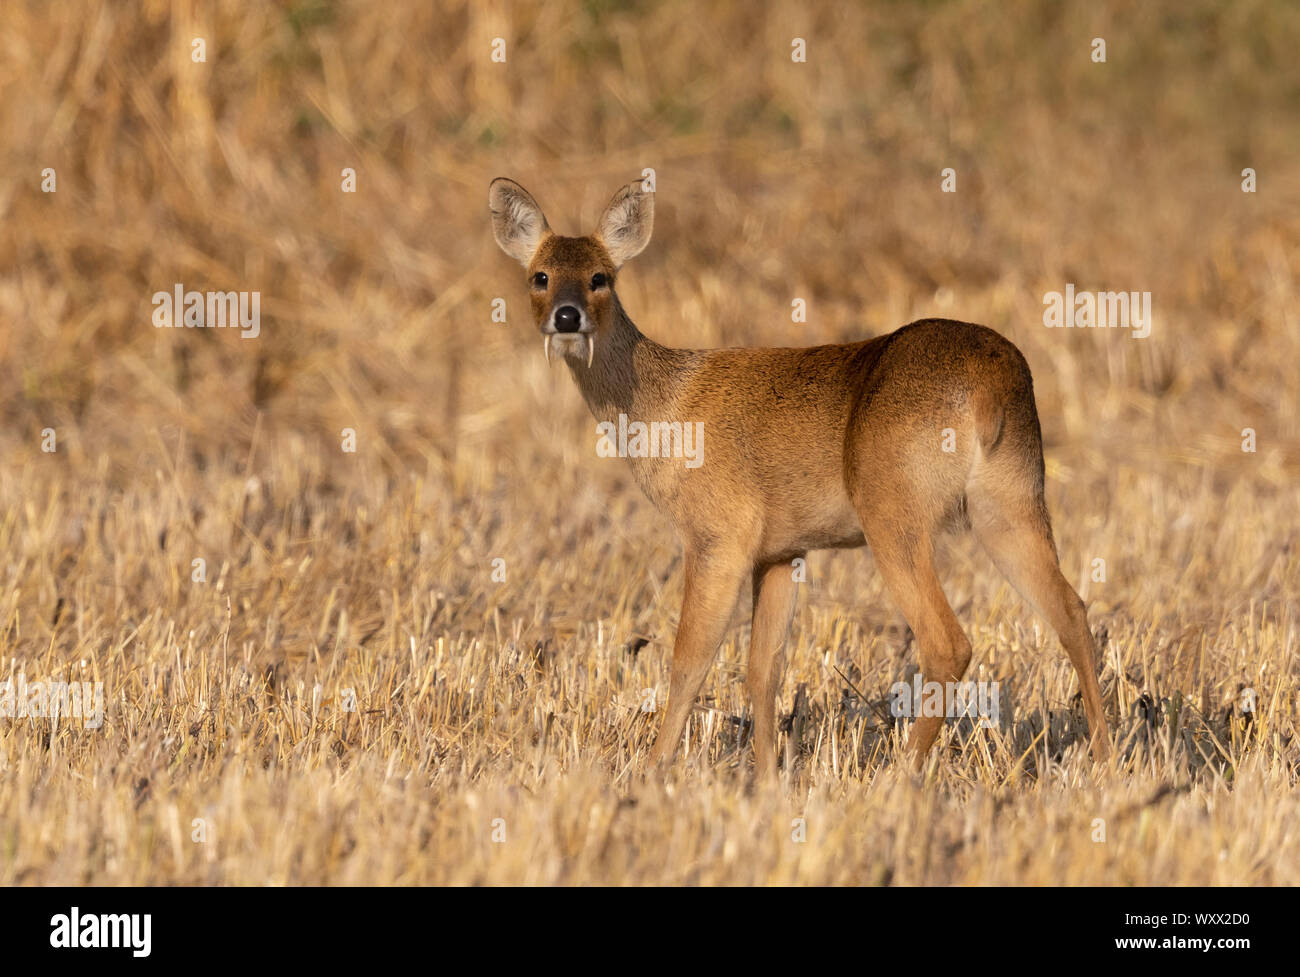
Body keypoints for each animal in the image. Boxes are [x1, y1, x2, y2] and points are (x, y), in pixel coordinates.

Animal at [489, 176, 1111, 781]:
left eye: (601, 277)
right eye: (540, 275)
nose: (566, 316)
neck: (665, 407)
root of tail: (989, 383)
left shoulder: (720, 534)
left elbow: (691, 658)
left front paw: (650, 771)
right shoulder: (782, 551)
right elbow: (763, 669)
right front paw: (767, 780)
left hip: (894, 510)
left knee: (948, 641)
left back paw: (898, 777)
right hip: (1010, 502)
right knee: (1072, 612)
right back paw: (1104, 758)